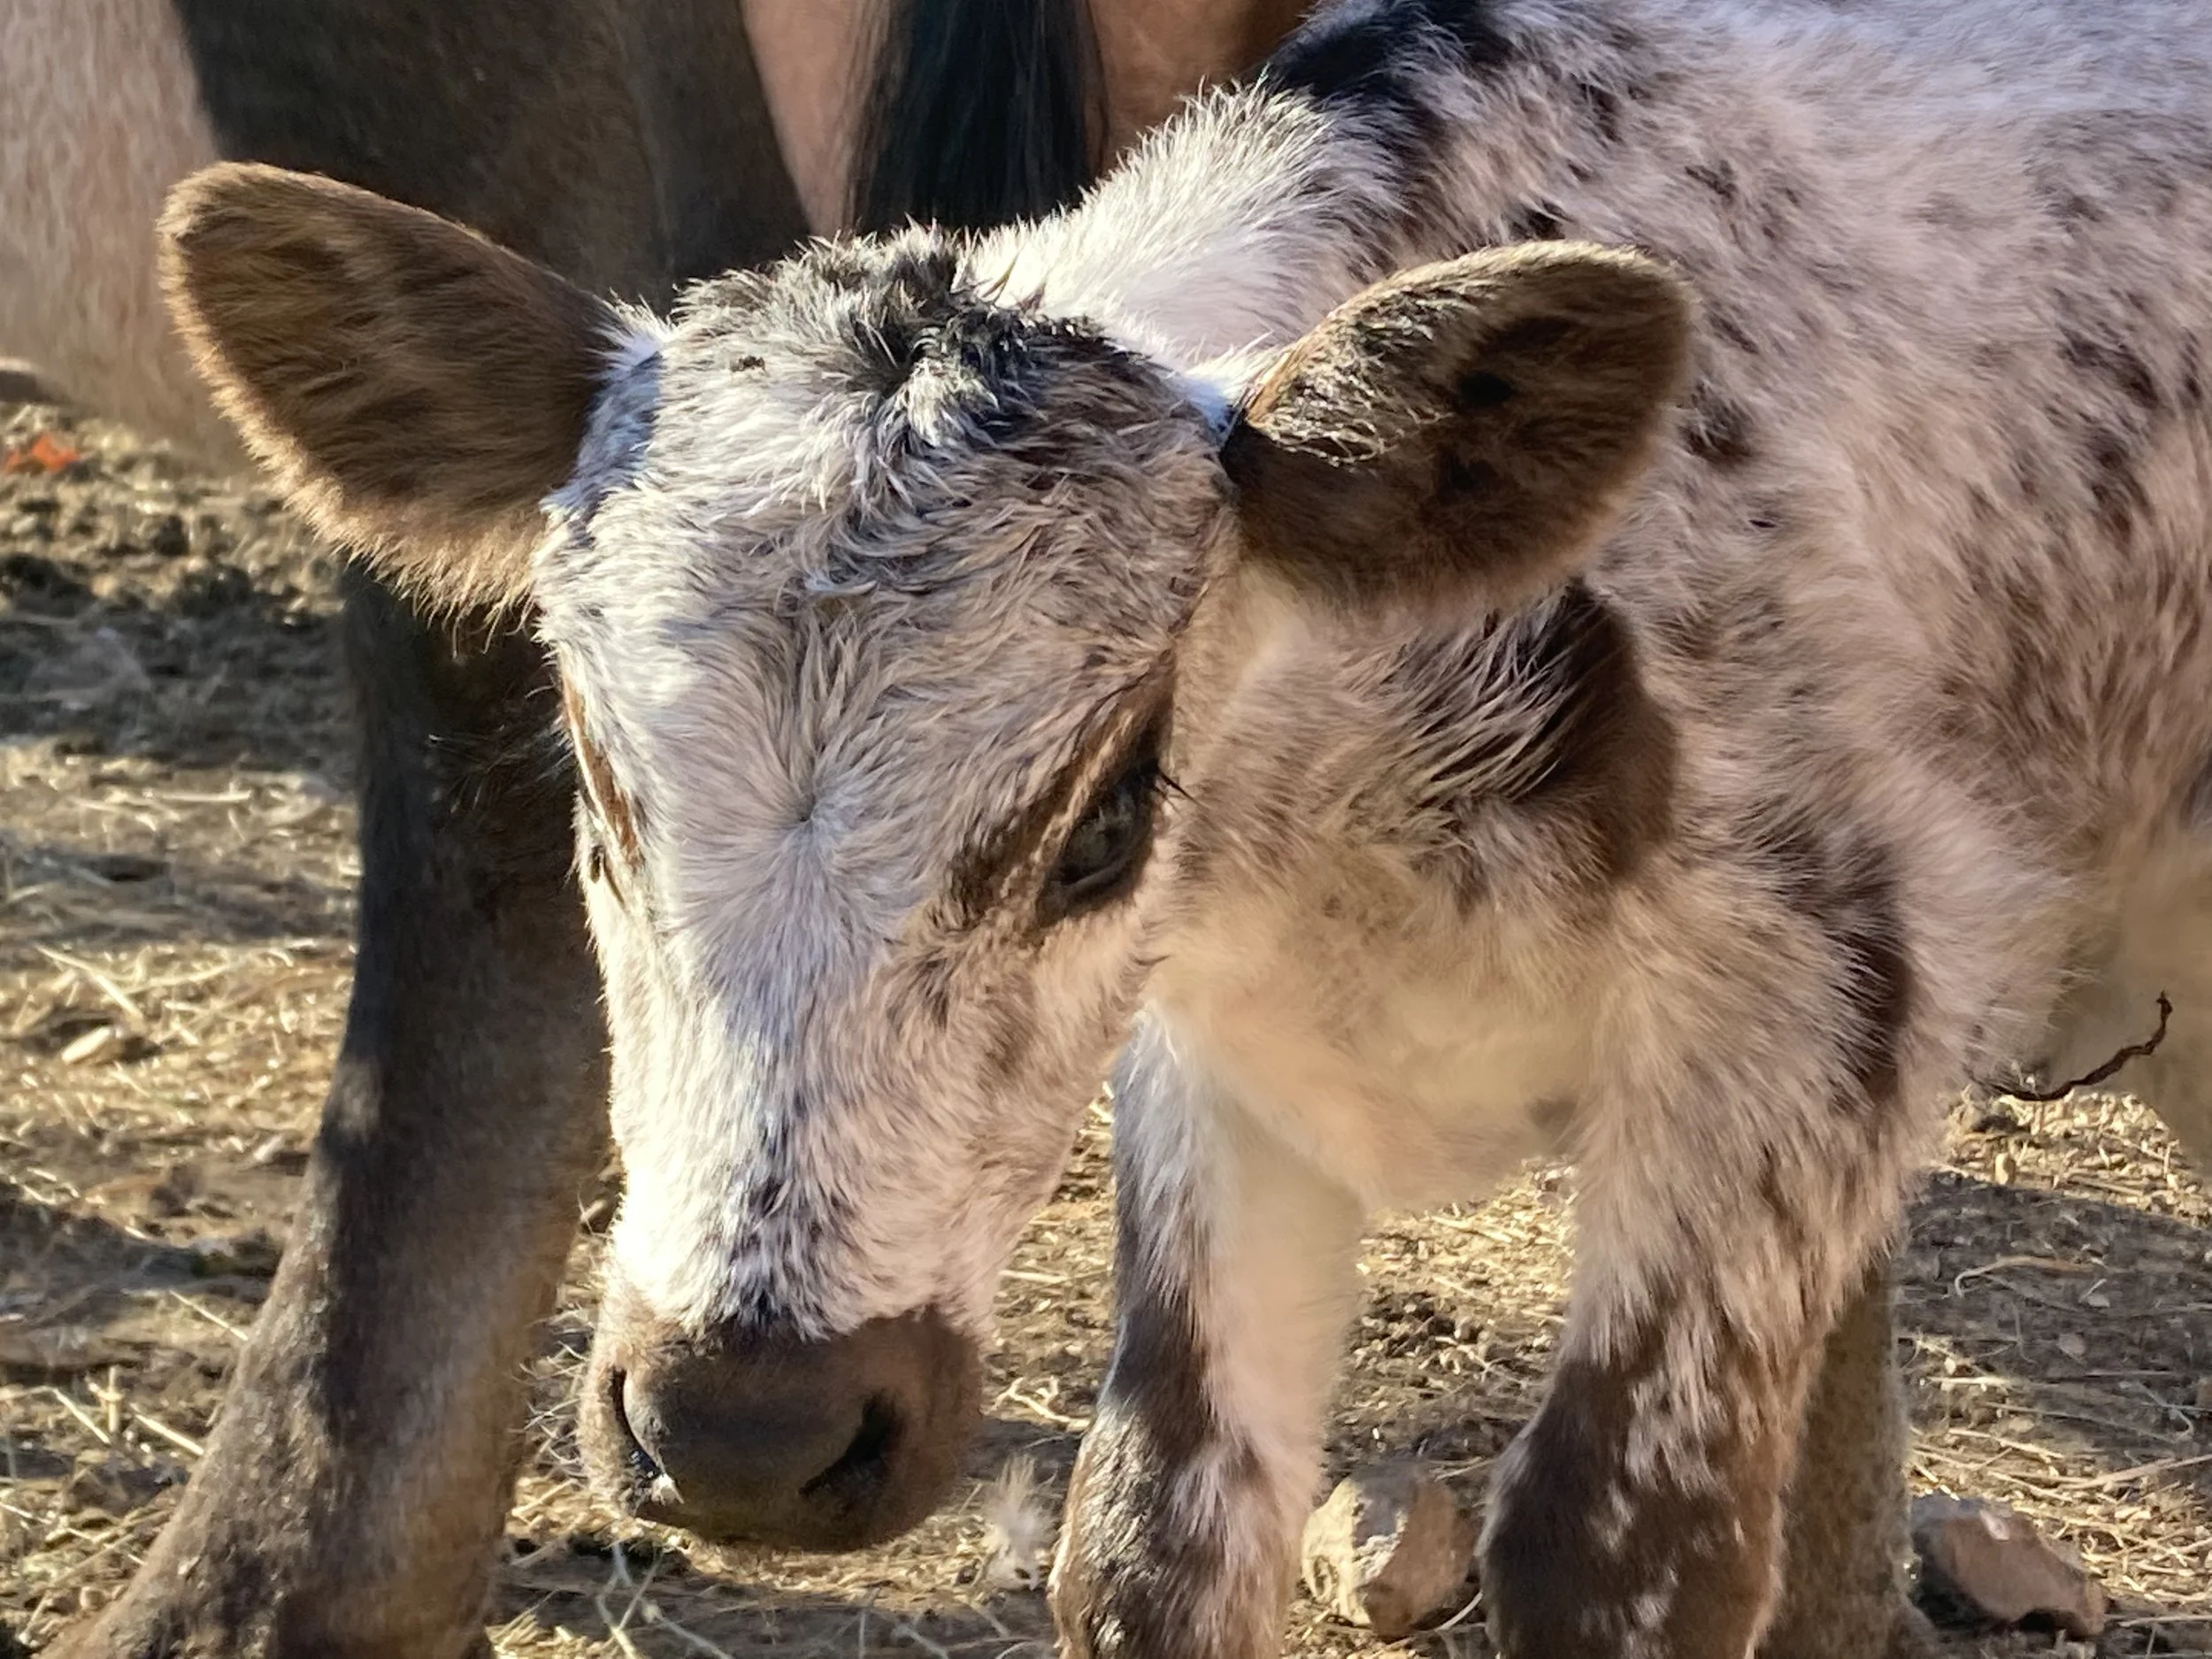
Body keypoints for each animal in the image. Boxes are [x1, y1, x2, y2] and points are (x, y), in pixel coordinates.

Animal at [147, 0, 2212, 1655]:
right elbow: (1153, 1534)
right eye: (594, 774)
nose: (748, 1426)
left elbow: (1613, 1552)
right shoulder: (1216, 1075)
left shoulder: (1808, 1017)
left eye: (1107, 815)